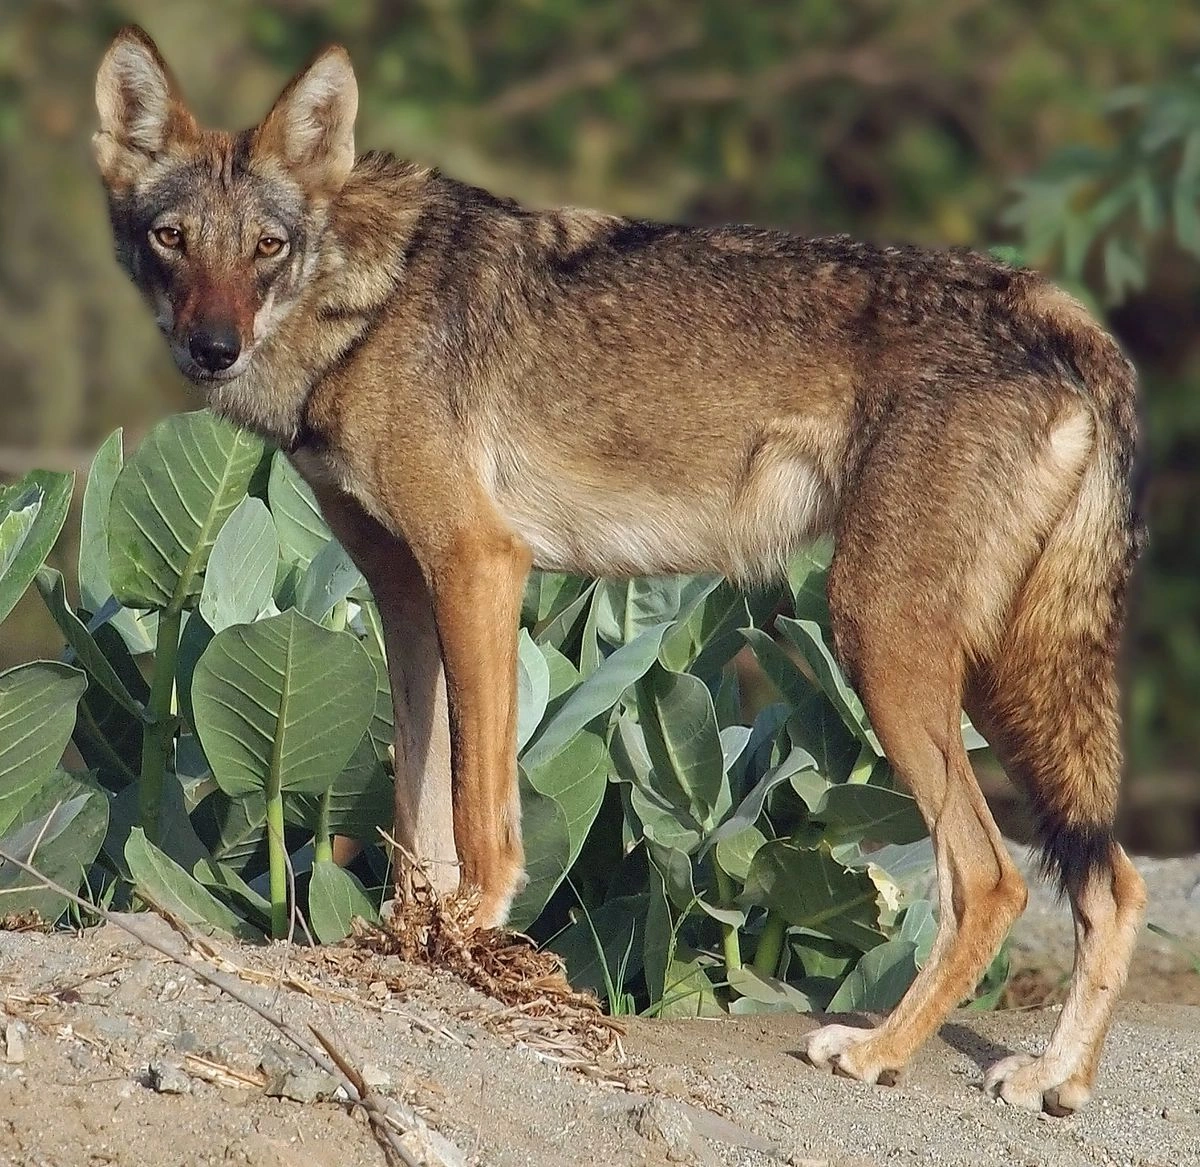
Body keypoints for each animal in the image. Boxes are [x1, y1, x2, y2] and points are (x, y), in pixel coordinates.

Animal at [94, 26, 1147, 1114]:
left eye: (266, 247)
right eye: (172, 238)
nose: (213, 348)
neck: (366, 303)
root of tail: (1063, 311)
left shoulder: (478, 562)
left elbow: (480, 817)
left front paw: (469, 936)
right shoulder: (404, 597)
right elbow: (419, 814)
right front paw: (409, 941)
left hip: (885, 643)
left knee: (994, 879)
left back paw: (878, 1049)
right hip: (1000, 677)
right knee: (1115, 883)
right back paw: (1055, 1080)